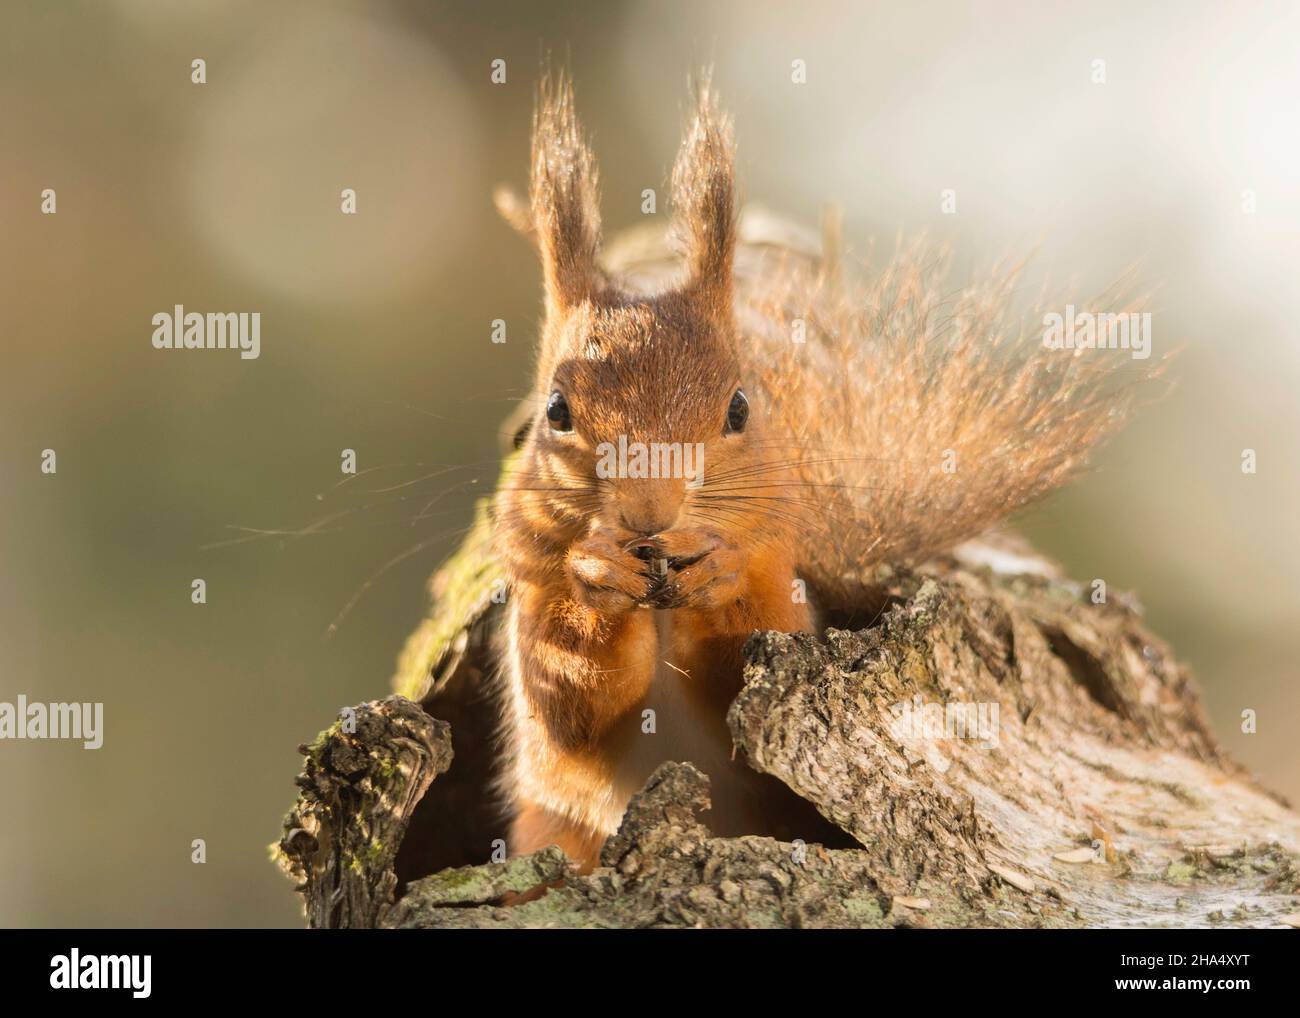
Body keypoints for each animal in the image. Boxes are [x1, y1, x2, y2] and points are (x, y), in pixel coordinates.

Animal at [492, 71, 1142, 871]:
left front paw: (721, 573)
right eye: (555, 409)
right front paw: (596, 576)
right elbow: (571, 715)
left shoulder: (783, 600)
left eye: (740, 408)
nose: (650, 515)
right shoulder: (532, 612)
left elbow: (749, 675)